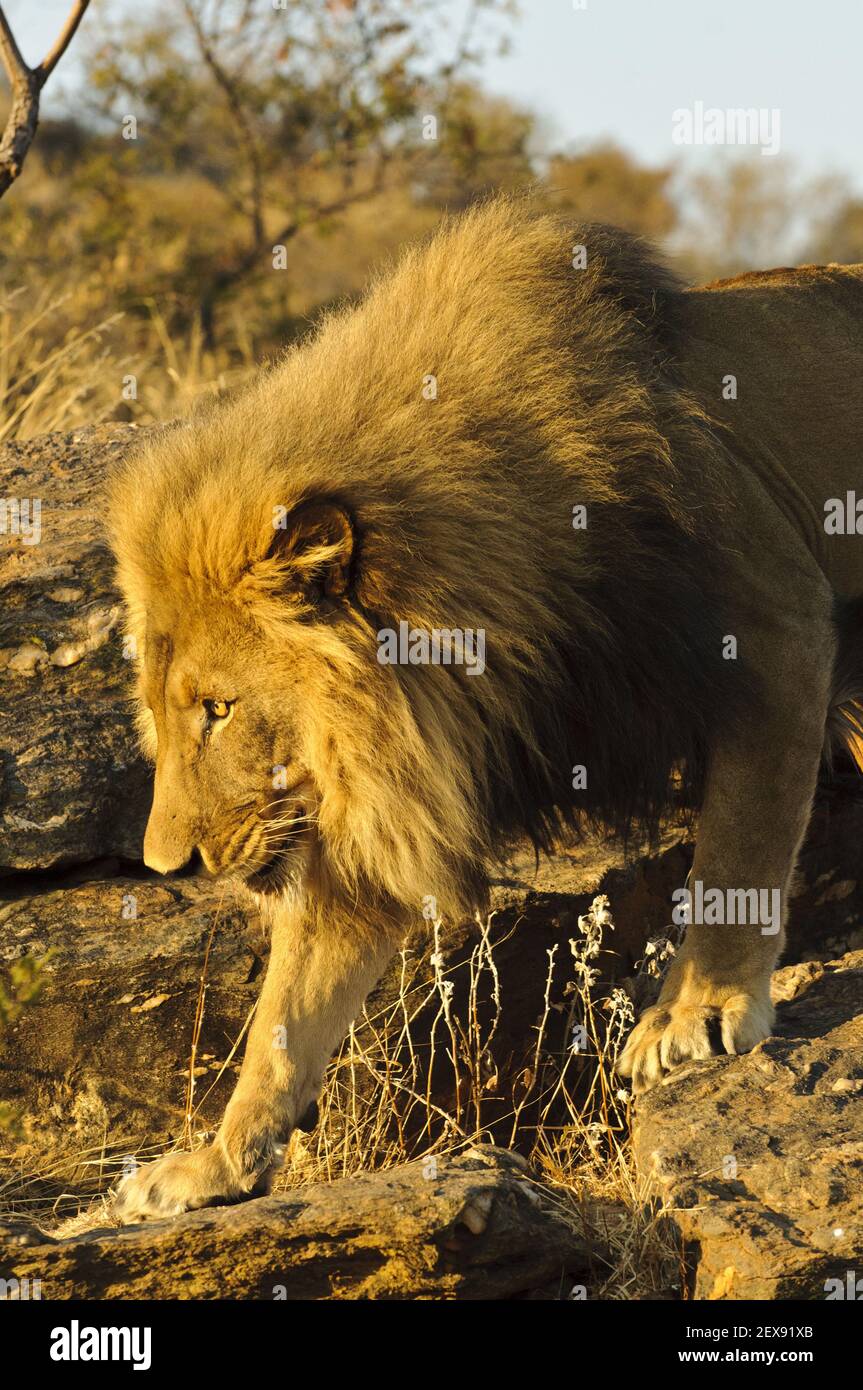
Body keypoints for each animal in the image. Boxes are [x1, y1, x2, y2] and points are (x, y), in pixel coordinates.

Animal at [107, 197, 863, 1220]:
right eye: (165, 715)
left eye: (219, 709)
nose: (167, 867)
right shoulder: (362, 797)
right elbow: (286, 1015)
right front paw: (214, 1164)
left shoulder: (773, 626)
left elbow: (736, 851)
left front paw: (695, 1012)